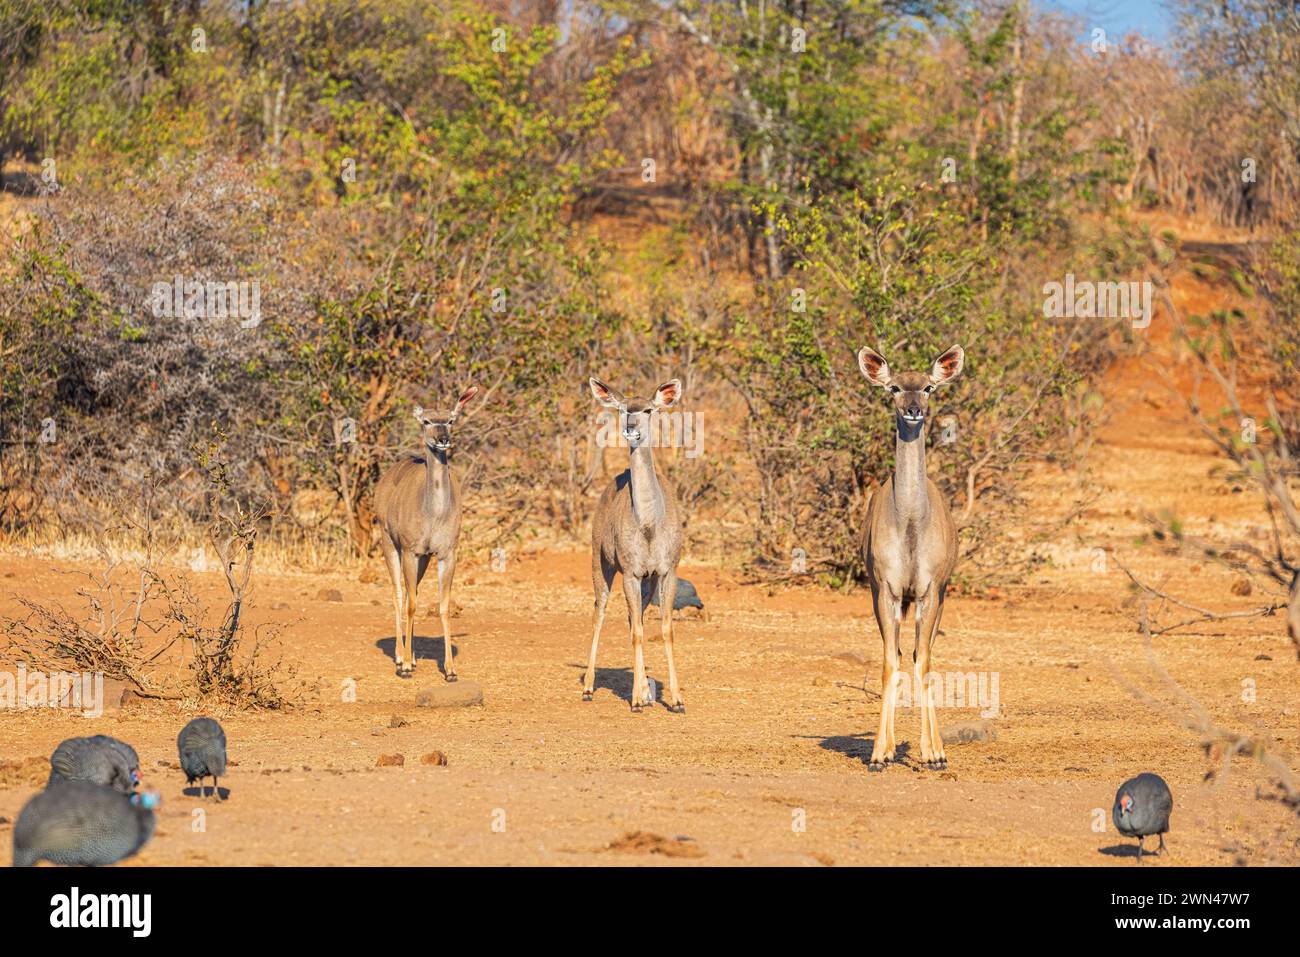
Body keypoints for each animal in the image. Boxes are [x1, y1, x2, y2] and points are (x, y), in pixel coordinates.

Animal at [373, 386, 478, 679]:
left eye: (451, 420)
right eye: (427, 421)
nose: (443, 440)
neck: (434, 512)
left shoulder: (445, 554)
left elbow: (443, 606)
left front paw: (451, 670)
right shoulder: (410, 550)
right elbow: (409, 603)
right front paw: (406, 665)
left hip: (422, 559)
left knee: (413, 593)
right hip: (389, 543)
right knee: (399, 594)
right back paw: (401, 657)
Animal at [584, 376, 686, 713]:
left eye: (649, 410)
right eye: (622, 409)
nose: (630, 428)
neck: (649, 525)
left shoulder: (666, 572)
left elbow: (664, 629)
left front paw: (676, 700)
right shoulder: (629, 572)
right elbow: (638, 631)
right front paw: (637, 700)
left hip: (646, 582)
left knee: (634, 619)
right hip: (600, 564)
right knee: (599, 613)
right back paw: (589, 688)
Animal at [857, 344, 964, 770]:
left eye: (929, 386)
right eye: (895, 388)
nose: (914, 410)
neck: (910, 521)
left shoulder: (930, 591)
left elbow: (924, 660)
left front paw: (933, 754)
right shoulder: (884, 591)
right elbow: (891, 660)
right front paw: (878, 754)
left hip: (938, 599)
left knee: (924, 653)